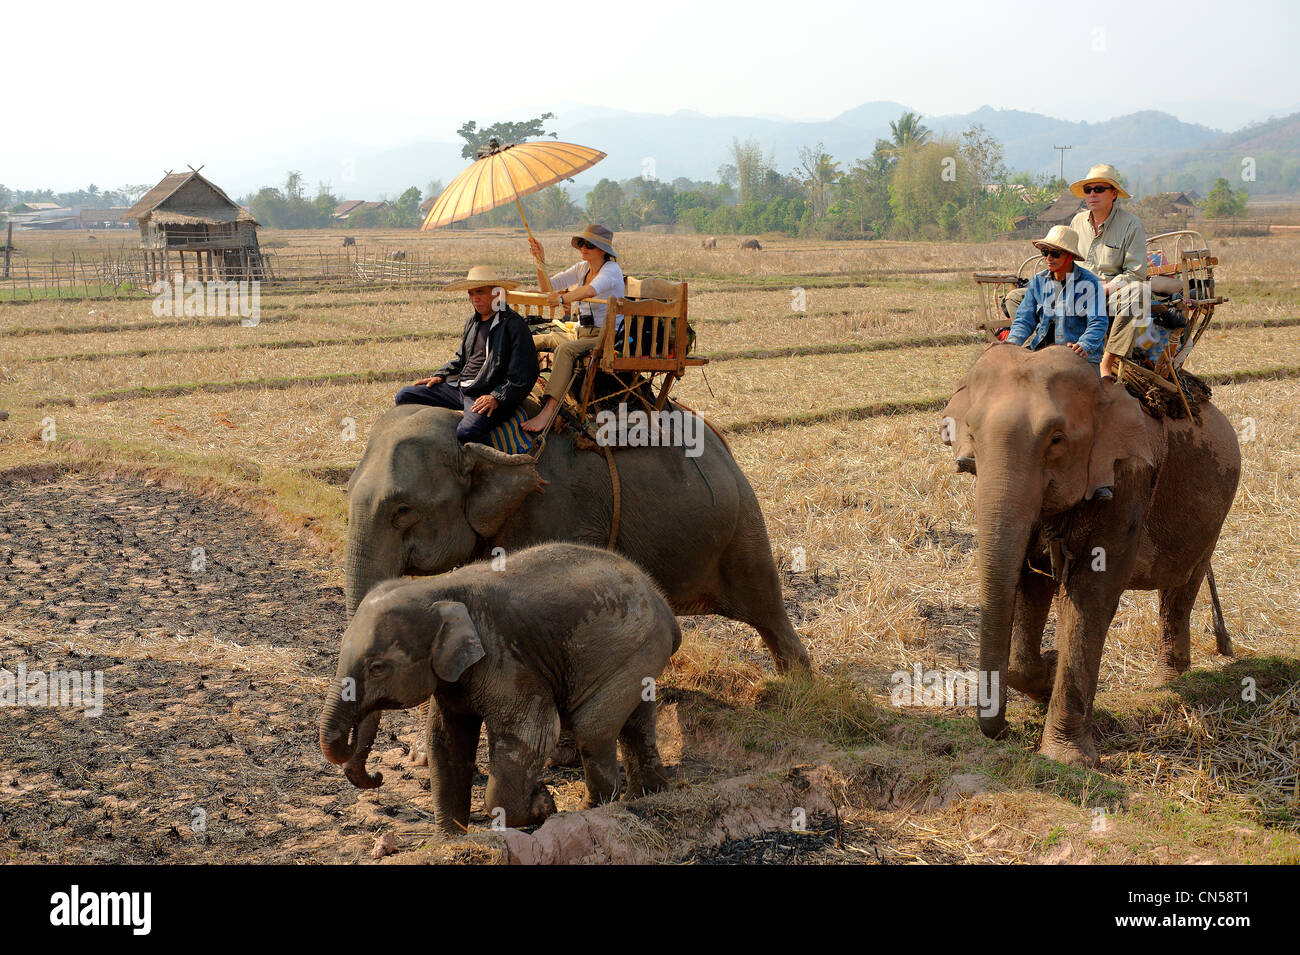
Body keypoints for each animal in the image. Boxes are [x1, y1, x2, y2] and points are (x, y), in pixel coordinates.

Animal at [319, 543, 680, 833]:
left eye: (377, 668)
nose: (378, 776)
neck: (439, 590)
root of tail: (663, 604)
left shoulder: (506, 660)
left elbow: (533, 732)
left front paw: (543, 806)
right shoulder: (454, 675)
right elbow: (445, 741)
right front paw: (450, 839)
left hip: (636, 649)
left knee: (592, 728)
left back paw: (592, 809)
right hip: (638, 657)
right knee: (635, 722)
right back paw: (647, 795)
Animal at [940, 344, 1240, 765]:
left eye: (1056, 439)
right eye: (971, 431)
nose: (1004, 732)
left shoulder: (1127, 478)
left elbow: (1091, 594)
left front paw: (1066, 759)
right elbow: (1031, 578)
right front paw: (1047, 672)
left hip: (1215, 510)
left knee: (1181, 586)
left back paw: (1169, 683)